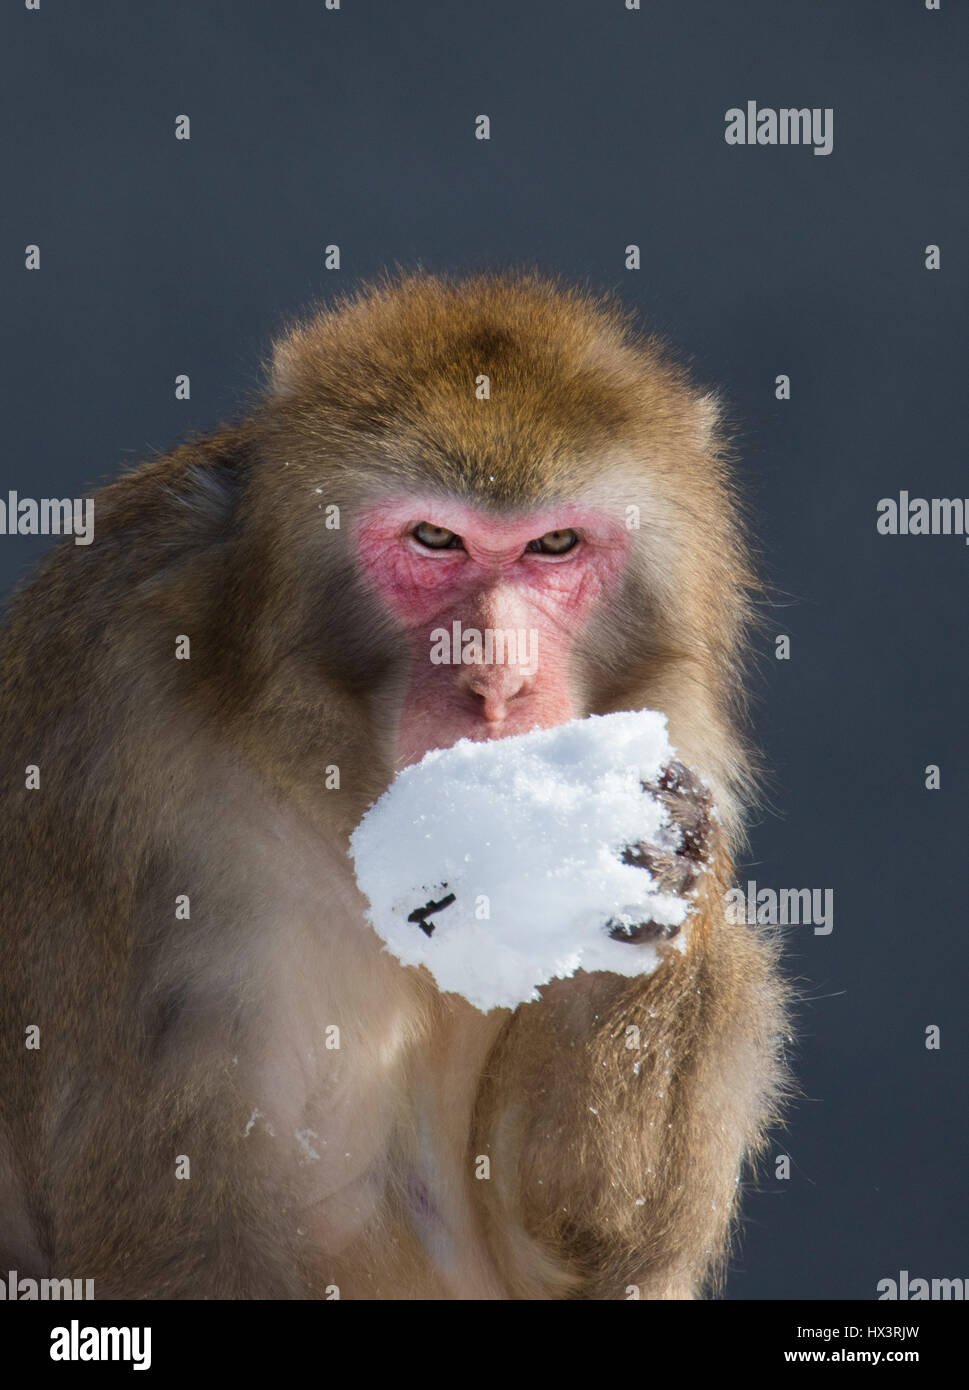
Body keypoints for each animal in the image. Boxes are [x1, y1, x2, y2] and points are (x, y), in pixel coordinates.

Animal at [0, 272, 787, 1300]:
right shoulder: (103, 729)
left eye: (554, 545)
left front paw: (636, 868)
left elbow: (565, 1240)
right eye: (434, 537)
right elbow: (179, 1240)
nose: (495, 679)